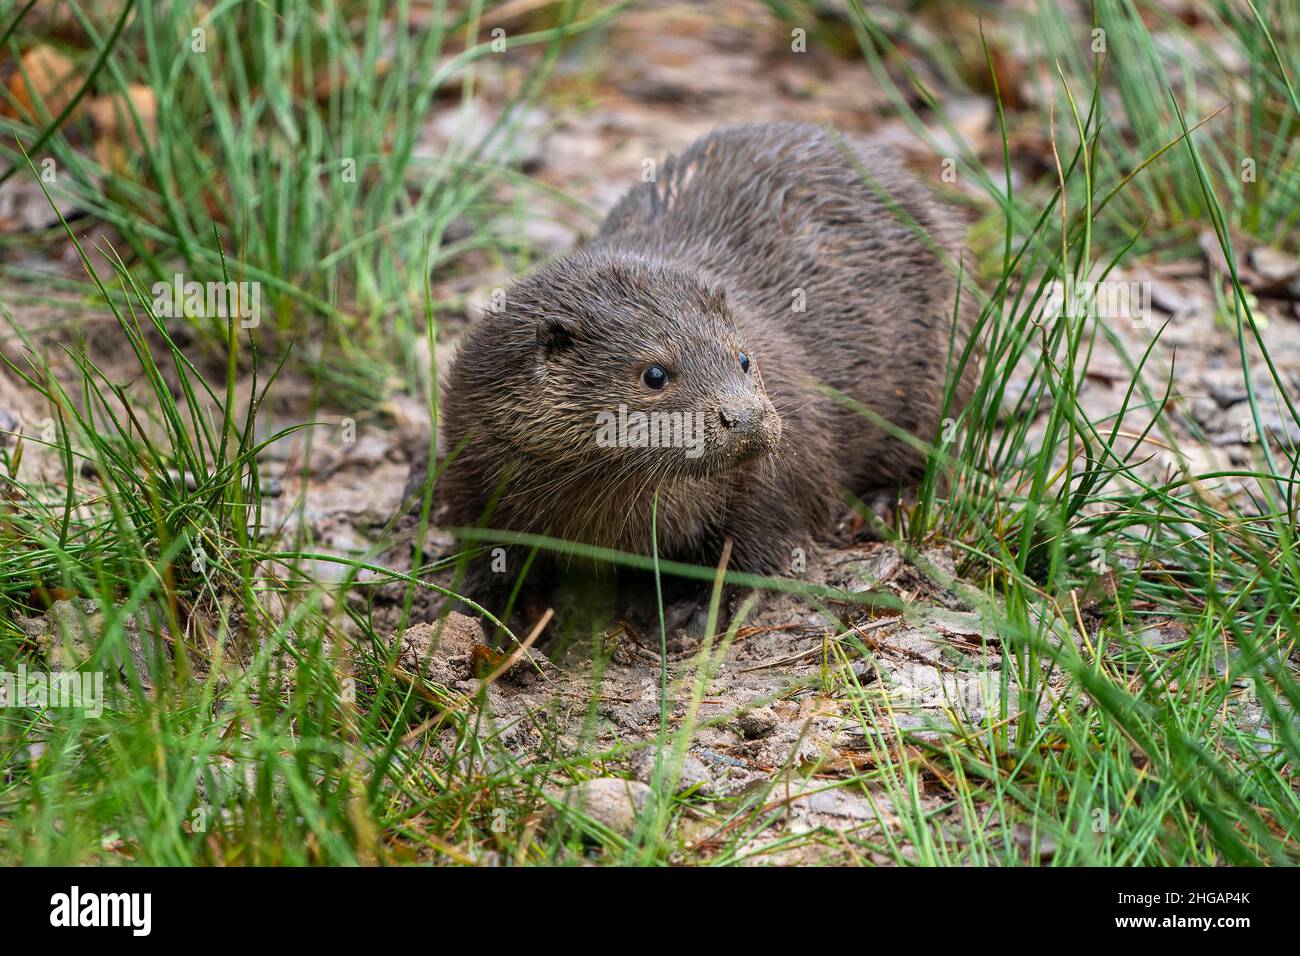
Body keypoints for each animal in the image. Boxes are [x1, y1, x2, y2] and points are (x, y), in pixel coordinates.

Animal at [424, 122, 977, 620]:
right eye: (655, 374)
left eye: (744, 358)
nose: (746, 418)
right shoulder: (472, 466)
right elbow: (487, 551)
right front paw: (482, 609)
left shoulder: (789, 468)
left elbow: (762, 543)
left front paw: (699, 606)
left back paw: (887, 501)